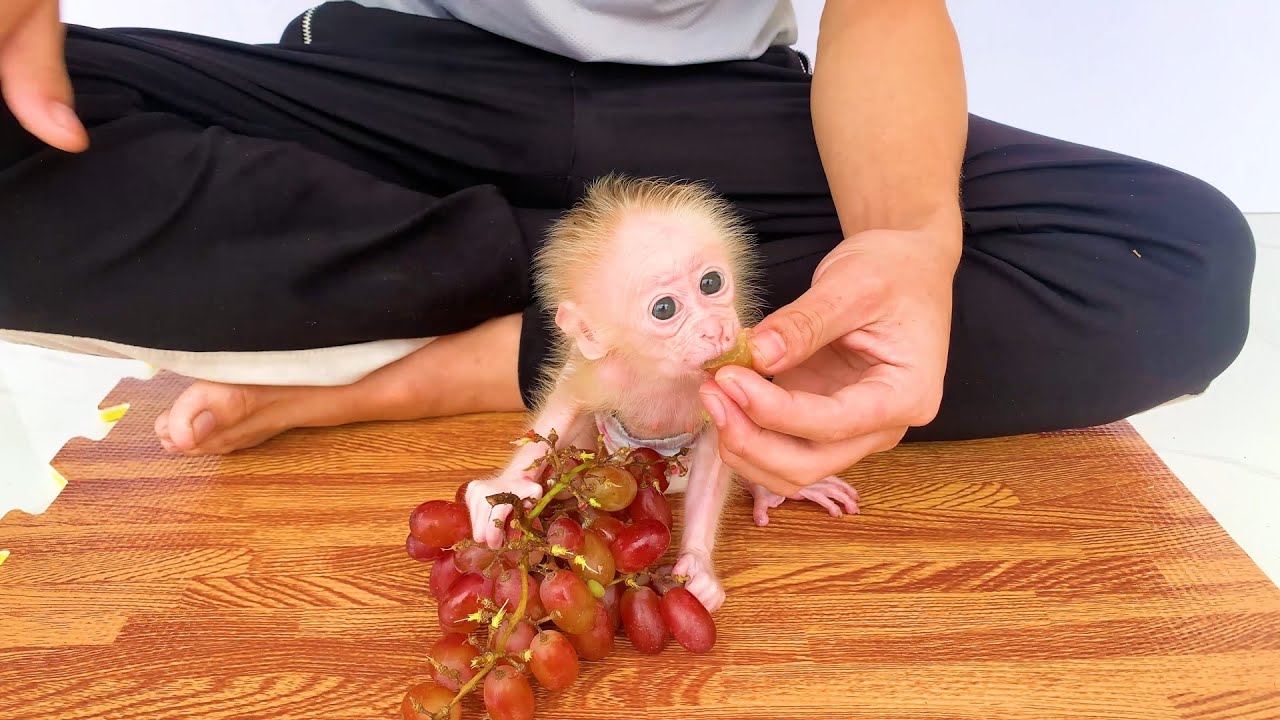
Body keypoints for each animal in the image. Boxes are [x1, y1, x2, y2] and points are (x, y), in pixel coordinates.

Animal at [464, 174, 859, 613]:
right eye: (665, 309)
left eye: (710, 283)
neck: (660, 371)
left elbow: (716, 452)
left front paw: (698, 564)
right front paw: (508, 487)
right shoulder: (603, 370)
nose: (715, 330)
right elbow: (565, 404)